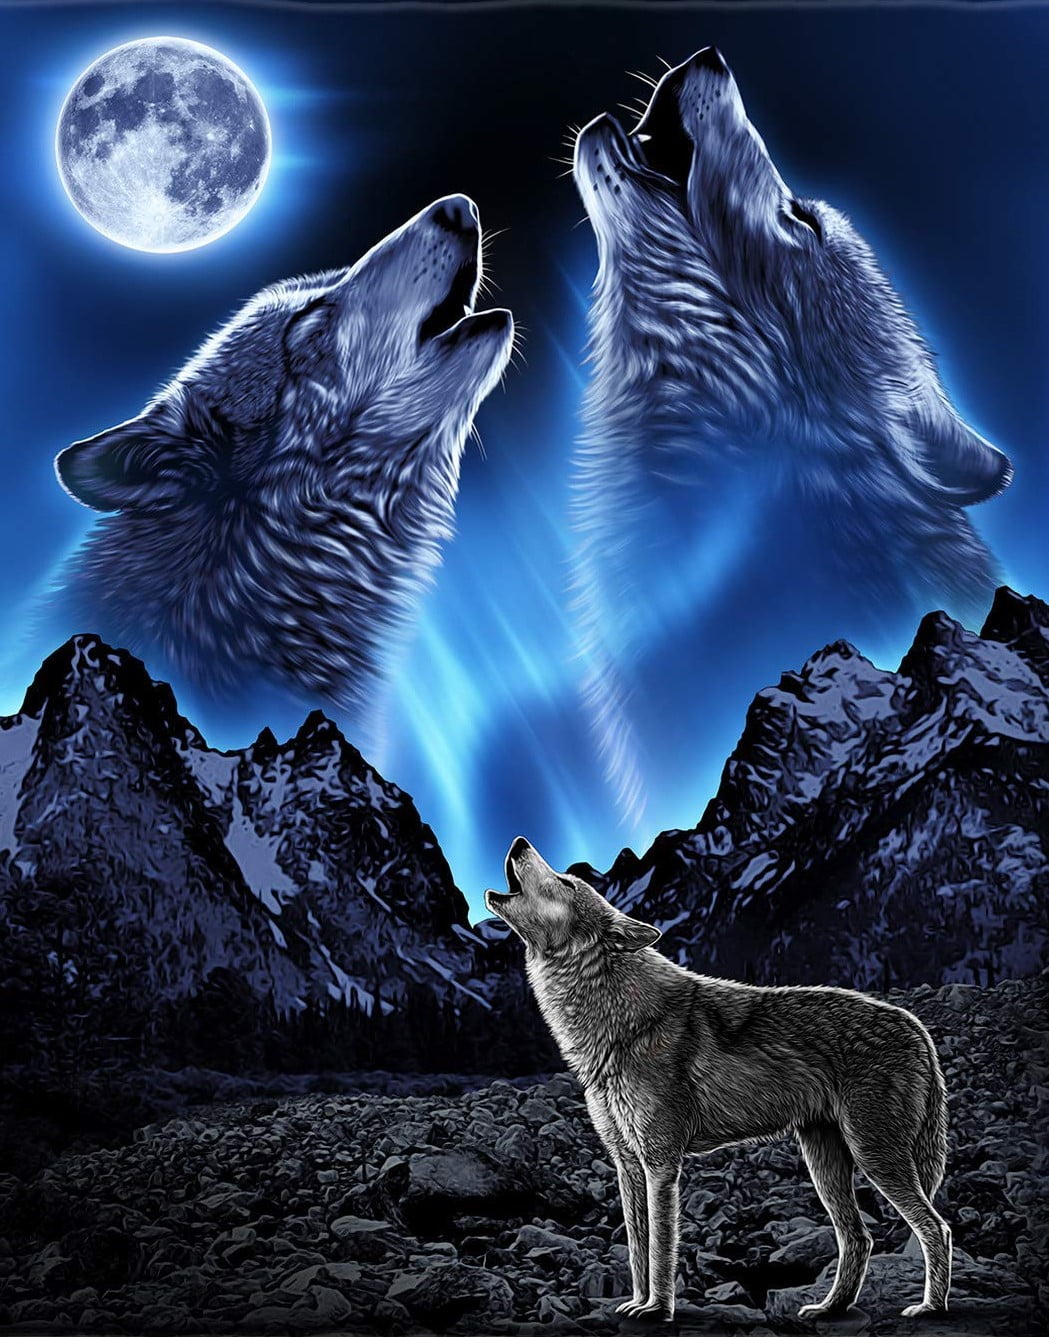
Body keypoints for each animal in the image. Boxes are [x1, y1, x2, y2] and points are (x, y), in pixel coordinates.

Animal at [486, 838, 952, 1324]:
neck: (623, 1024)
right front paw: (634, 1302)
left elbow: (661, 1248)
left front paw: (657, 1309)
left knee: (935, 1226)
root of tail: (915, 1025)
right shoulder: (627, 1164)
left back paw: (930, 1307)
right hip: (824, 1162)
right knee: (859, 1237)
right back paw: (830, 1308)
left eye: (567, 882)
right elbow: (636, 1248)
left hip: (874, 1156)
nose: (519, 842)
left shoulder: (661, 1164)